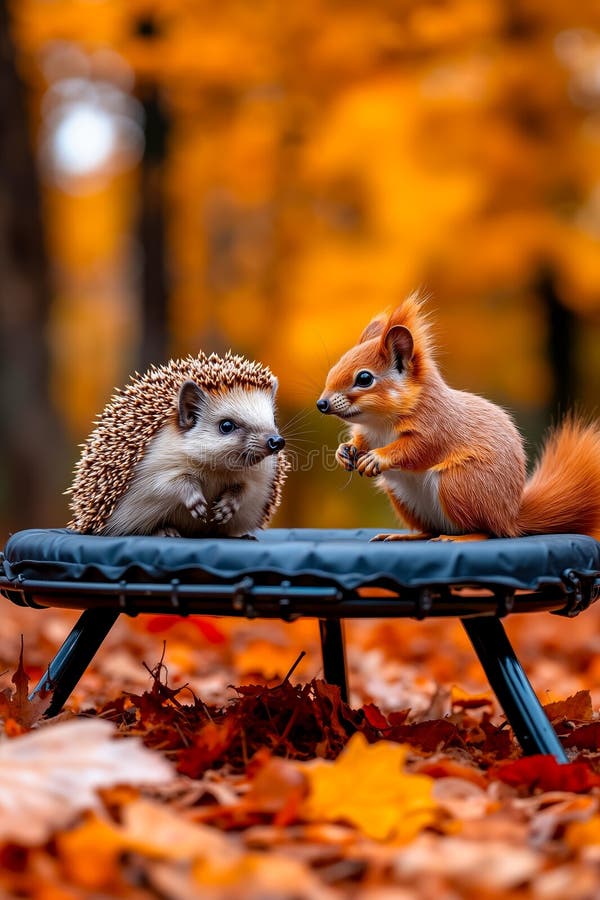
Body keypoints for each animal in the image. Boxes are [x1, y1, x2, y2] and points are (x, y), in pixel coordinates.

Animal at [317, 293, 600, 542]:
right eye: (337, 365)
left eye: (364, 378)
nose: (322, 404)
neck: (380, 422)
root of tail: (509, 517)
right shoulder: (368, 433)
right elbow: (360, 441)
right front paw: (344, 451)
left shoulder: (436, 425)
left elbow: (417, 449)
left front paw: (378, 457)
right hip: (403, 497)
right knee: (430, 529)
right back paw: (404, 535)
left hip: (459, 484)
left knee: (486, 530)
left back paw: (461, 538)